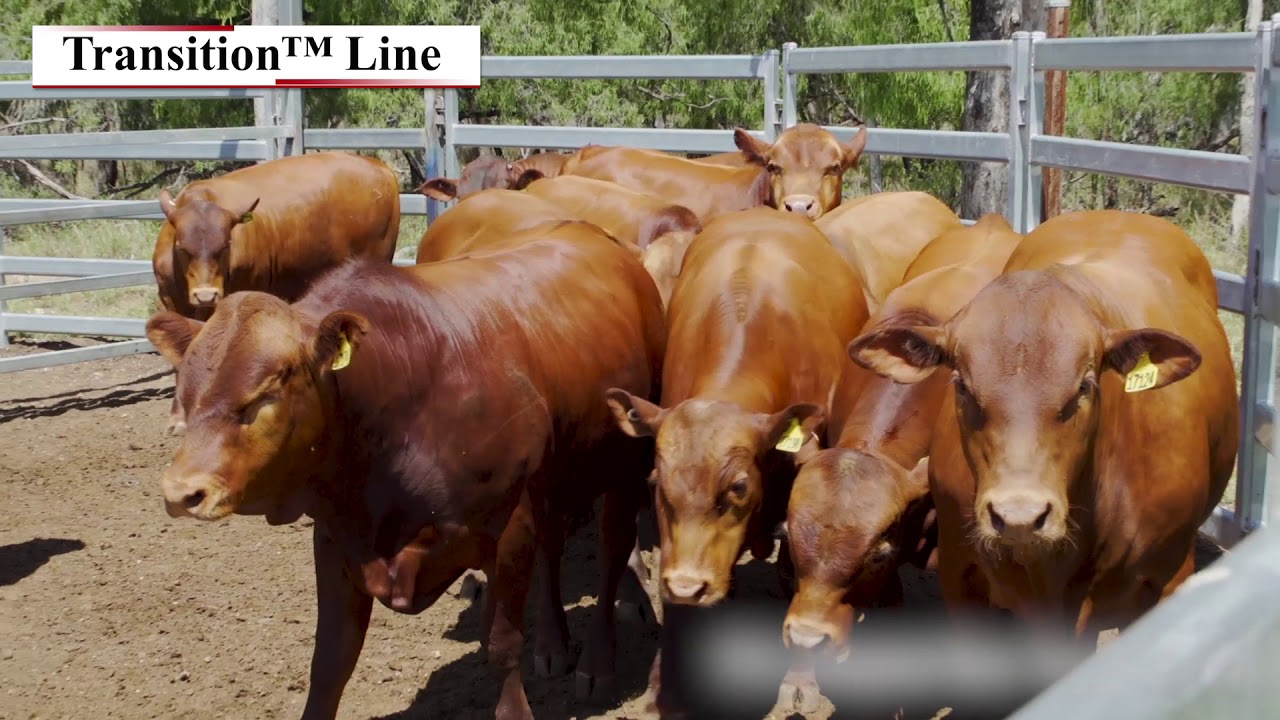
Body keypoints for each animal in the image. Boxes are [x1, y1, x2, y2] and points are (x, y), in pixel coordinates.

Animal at [145, 217, 667, 720]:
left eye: (266, 392)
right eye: (186, 392)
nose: (181, 492)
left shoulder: (509, 527)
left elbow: (501, 644)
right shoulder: (336, 539)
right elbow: (329, 662)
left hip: (621, 467)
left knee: (611, 551)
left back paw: (597, 665)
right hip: (558, 473)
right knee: (554, 546)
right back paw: (553, 646)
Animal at [152, 151, 401, 436]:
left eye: (225, 245)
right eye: (182, 247)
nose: (206, 295)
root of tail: (377, 165)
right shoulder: (171, 302)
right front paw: (179, 416)